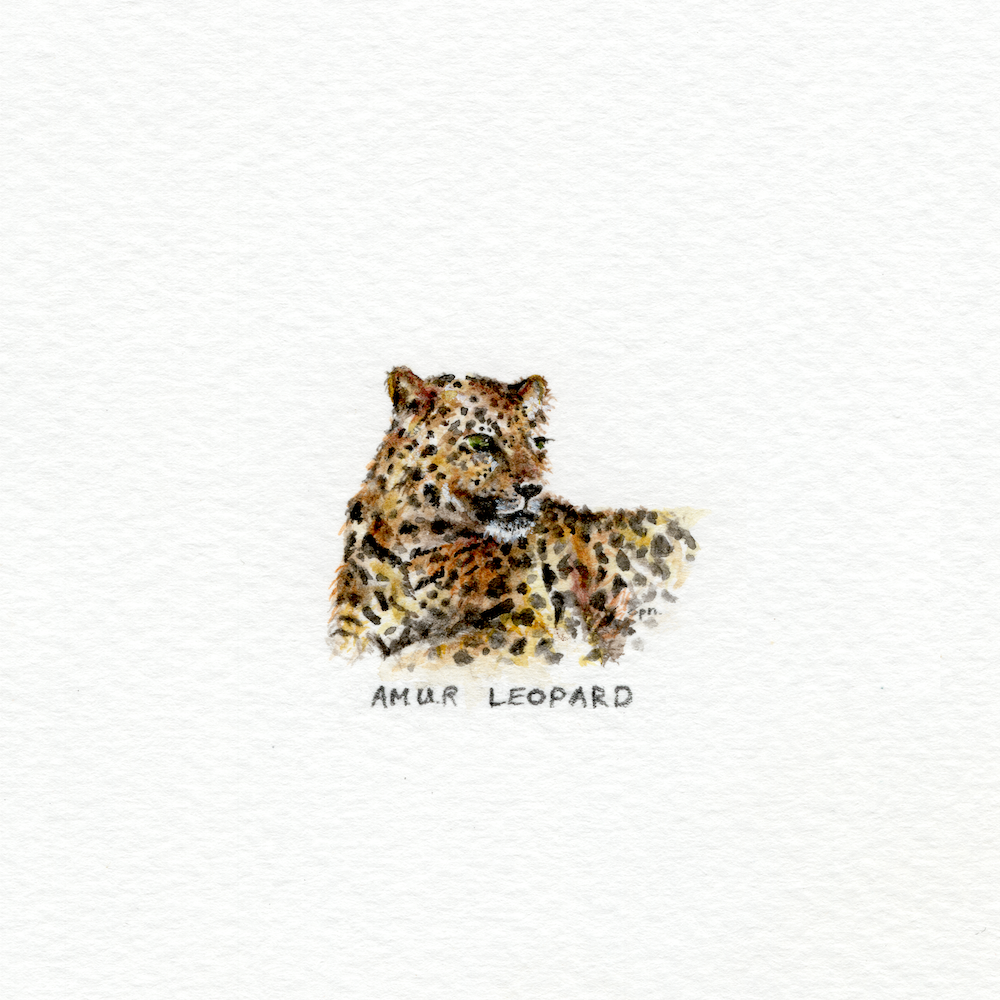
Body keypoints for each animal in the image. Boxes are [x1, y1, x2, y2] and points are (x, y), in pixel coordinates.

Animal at [328, 367, 703, 669]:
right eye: (481, 442)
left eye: (539, 443)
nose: (533, 488)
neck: (415, 543)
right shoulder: (351, 625)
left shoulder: (529, 623)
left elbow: (437, 652)